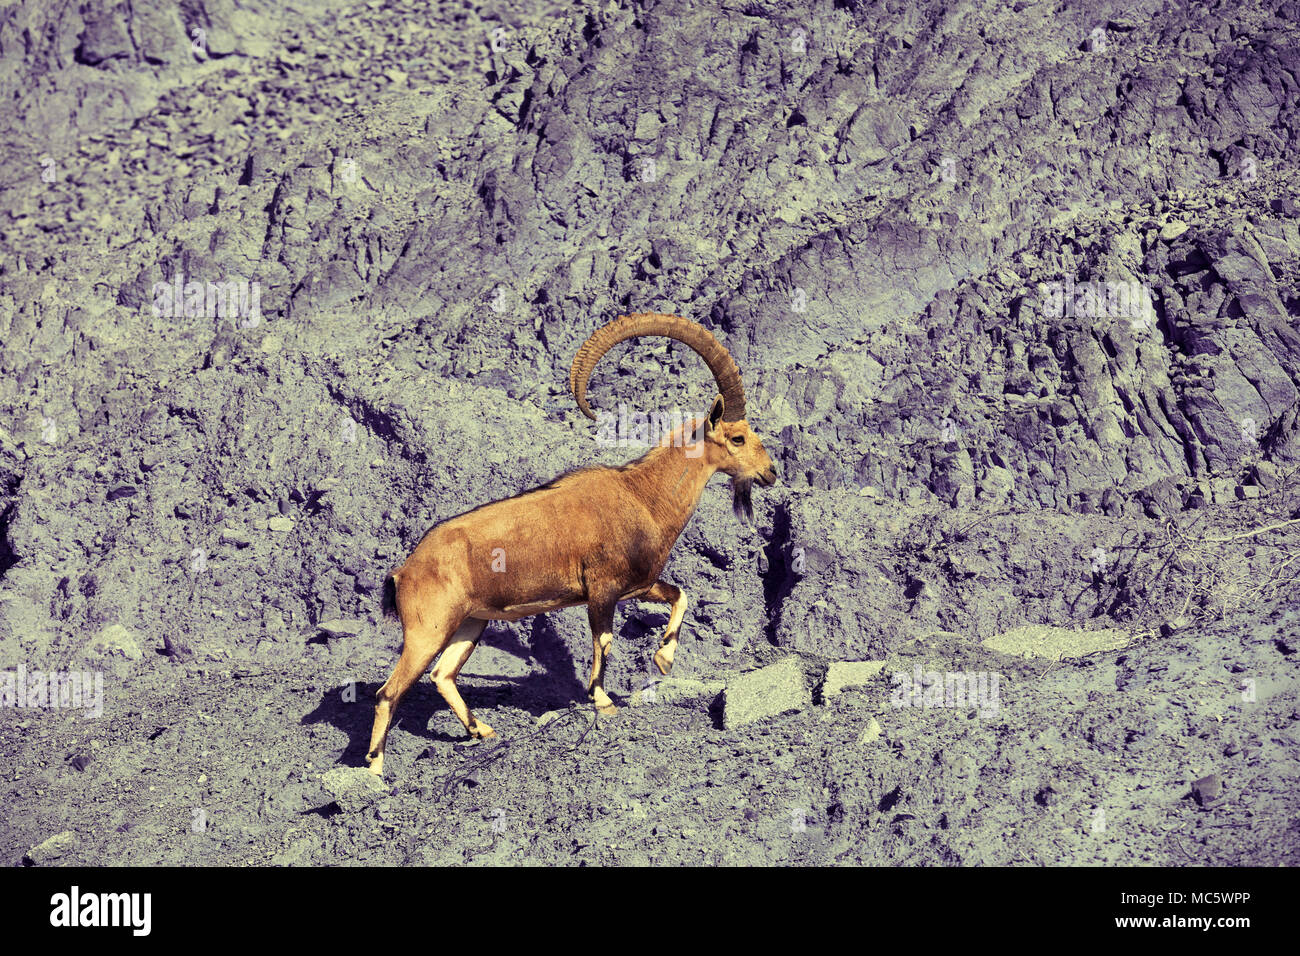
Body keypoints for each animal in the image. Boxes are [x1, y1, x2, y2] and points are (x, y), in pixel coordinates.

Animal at [364, 312, 778, 775]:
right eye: (738, 438)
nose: (772, 472)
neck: (642, 495)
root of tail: (404, 571)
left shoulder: (637, 584)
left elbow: (679, 595)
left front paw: (663, 660)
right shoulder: (601, 590)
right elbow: (604, 641)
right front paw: (603, 701)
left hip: (469, 624)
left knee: (442, 676)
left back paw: (482, 731)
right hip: (426, 631)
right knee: (388, 692)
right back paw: (375, 772)